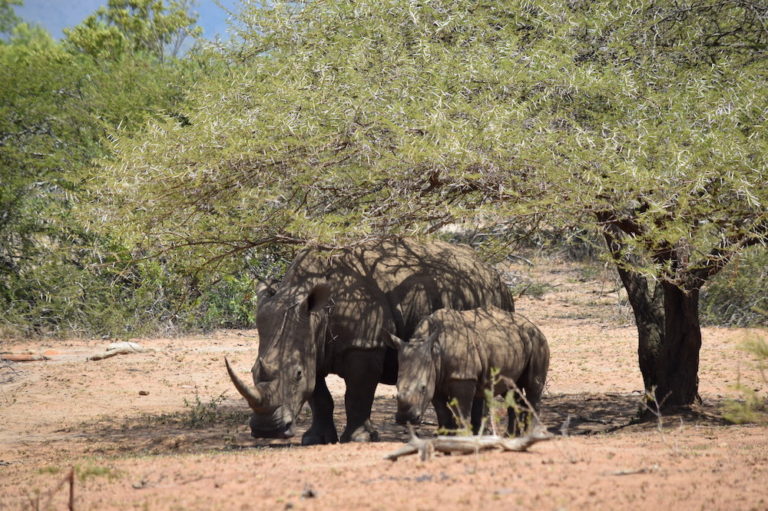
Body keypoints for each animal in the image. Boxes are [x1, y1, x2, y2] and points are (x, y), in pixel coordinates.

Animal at [225, 238, 514, 445]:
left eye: (295, 374)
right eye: (252, 371)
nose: (266, 430)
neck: (316, 315)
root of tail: (492, 271)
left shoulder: (364, 343)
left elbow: (357, 393)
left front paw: (358, 439)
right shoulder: (311, 345)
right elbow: (319, 396)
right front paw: (315, 440)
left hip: (495, 297)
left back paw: (476, 433)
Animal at [387, 306, 549, 435]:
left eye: (422, 388)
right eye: (396, 386)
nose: (405, 419)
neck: (435, 351)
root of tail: (533, 325)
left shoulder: (463, 377)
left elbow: (462, 409)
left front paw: (462, 436)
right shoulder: (435, 378)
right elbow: (441, 410)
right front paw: (446, 435)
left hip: (538, 340)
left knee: (533, 386)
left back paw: (531, 434)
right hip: (512, 344)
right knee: (510, 389)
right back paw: (512, 436)